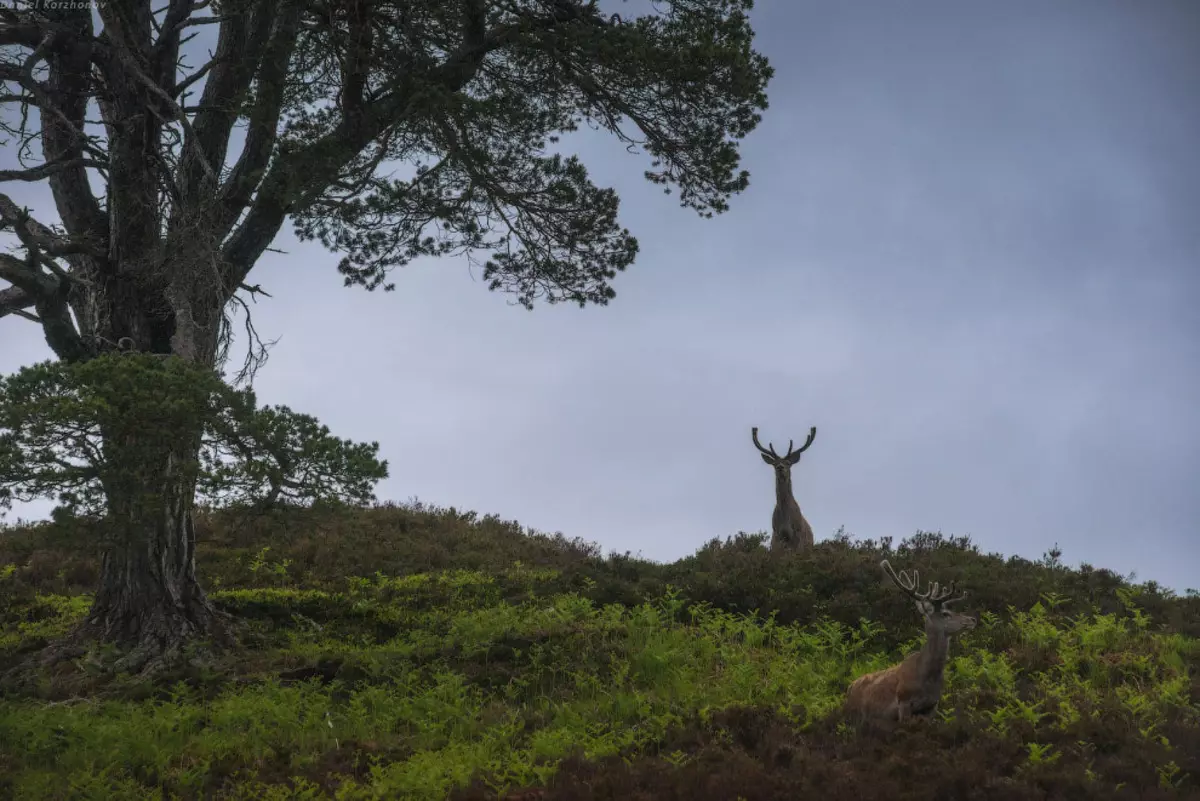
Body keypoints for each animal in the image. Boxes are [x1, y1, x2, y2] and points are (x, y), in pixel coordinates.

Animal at [844, 563, 974, 724]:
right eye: (945, 614)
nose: (972, 619)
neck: (927, 677)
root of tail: (849, 688)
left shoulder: (933, 705)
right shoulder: (903, 700)